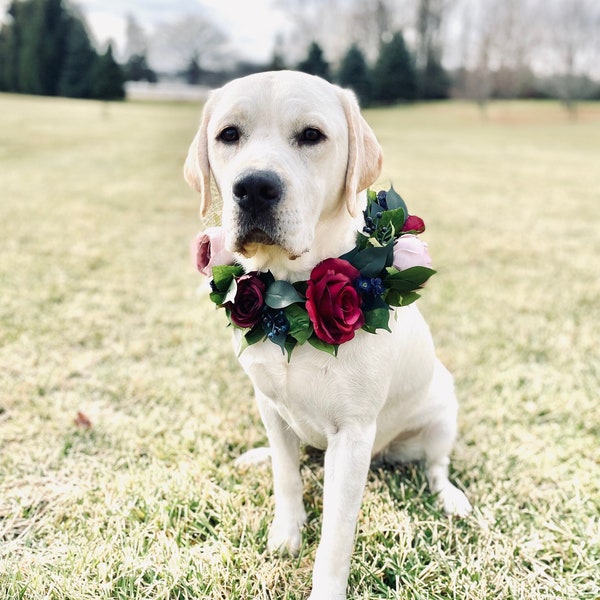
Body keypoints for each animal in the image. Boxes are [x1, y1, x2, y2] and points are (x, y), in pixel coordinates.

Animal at [185, 71, 472, 600]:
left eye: (312, 135)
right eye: (229, 134)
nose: (254, 187)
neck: (289, 300)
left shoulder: (353, 435)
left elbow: (337, 536)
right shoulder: (269, 403)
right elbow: (286, 476)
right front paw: (287, 532)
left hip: (441, 410)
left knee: (436, 465)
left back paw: (450, 497)